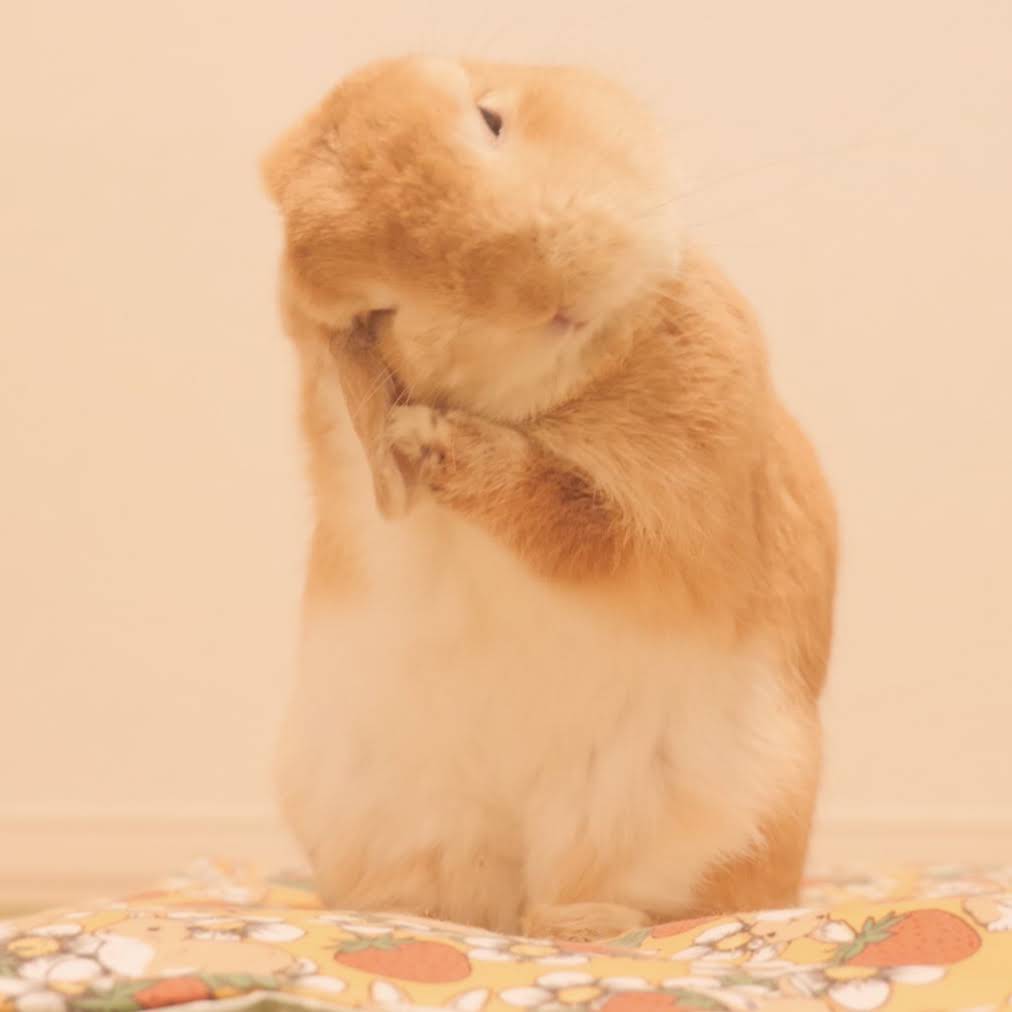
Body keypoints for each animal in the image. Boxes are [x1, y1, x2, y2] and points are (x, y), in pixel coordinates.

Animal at [262, 56, 837, 942]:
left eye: (490, 117)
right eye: (377, 311)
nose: (535, 290)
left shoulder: (666, 532)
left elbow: (559, 517)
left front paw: (427, 438)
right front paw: (412, 439)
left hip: (691, 804)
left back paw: (586, 922)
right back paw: (424, 919)